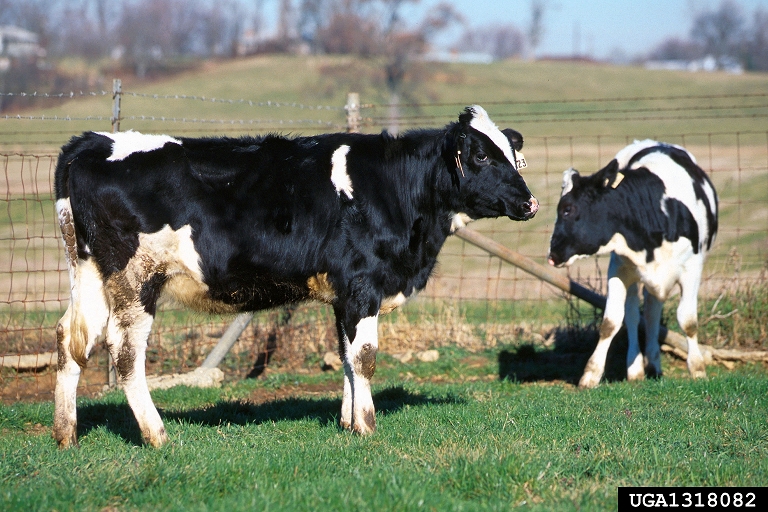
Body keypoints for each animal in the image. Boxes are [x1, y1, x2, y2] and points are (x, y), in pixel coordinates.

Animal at [53, 105, 538, 448]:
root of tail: (91, 142)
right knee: (125, 353)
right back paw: (156, 435)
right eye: (481, 155)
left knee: (70, 338)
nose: (530, 203)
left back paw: (66, 434)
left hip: (89, 273)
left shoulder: (344, 294)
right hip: (136, 280)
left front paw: (347, 422)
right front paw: (367, 426)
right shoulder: (363, 284)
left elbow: (346, 357)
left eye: (513, 155)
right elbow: (365, 357)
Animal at [547, 140, 718, 388]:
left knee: (652, 314)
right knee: (638, 315)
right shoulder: (619, 269)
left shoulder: (692, 269)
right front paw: (590, 375)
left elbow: (688, 321)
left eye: (567, 209)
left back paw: (653, 365)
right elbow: (610, 322)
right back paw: (638, 369)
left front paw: (697, 369)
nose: (552, 254)